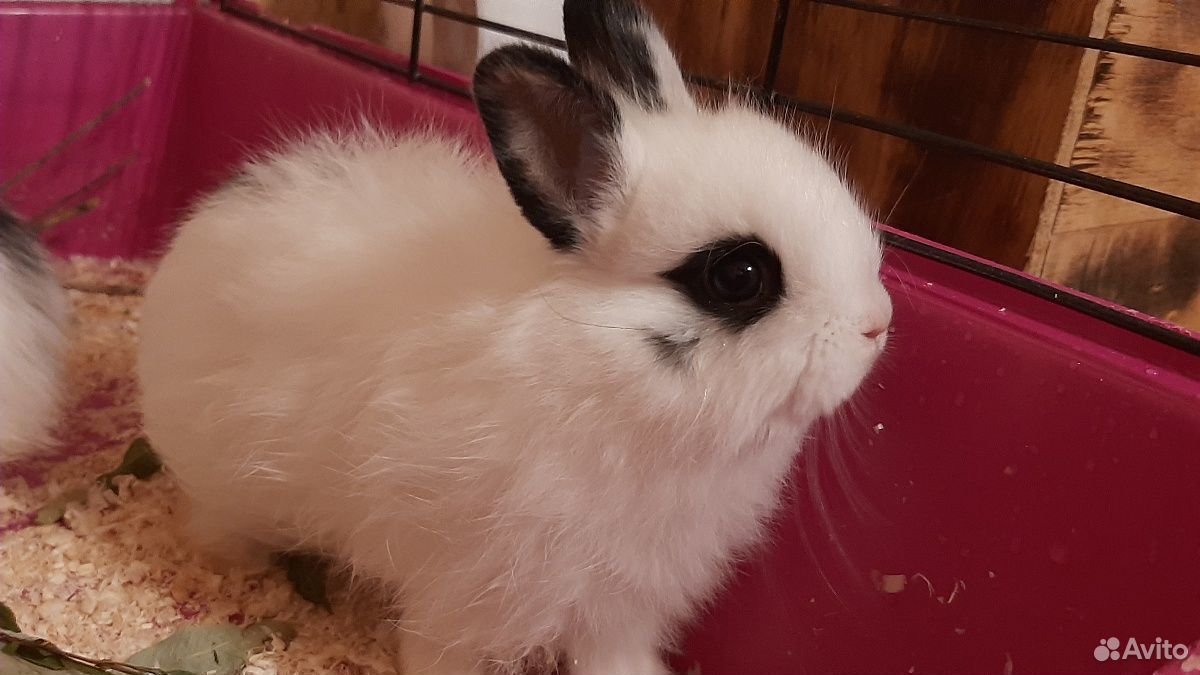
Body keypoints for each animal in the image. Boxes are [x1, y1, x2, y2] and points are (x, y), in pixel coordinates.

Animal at [136, 0, 893, 672]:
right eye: (740, 275)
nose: (878, 323)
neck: (605, 384)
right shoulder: (462, 590)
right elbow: (439, 653)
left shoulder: (626, 601)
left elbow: (614, 657)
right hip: (226, 488)